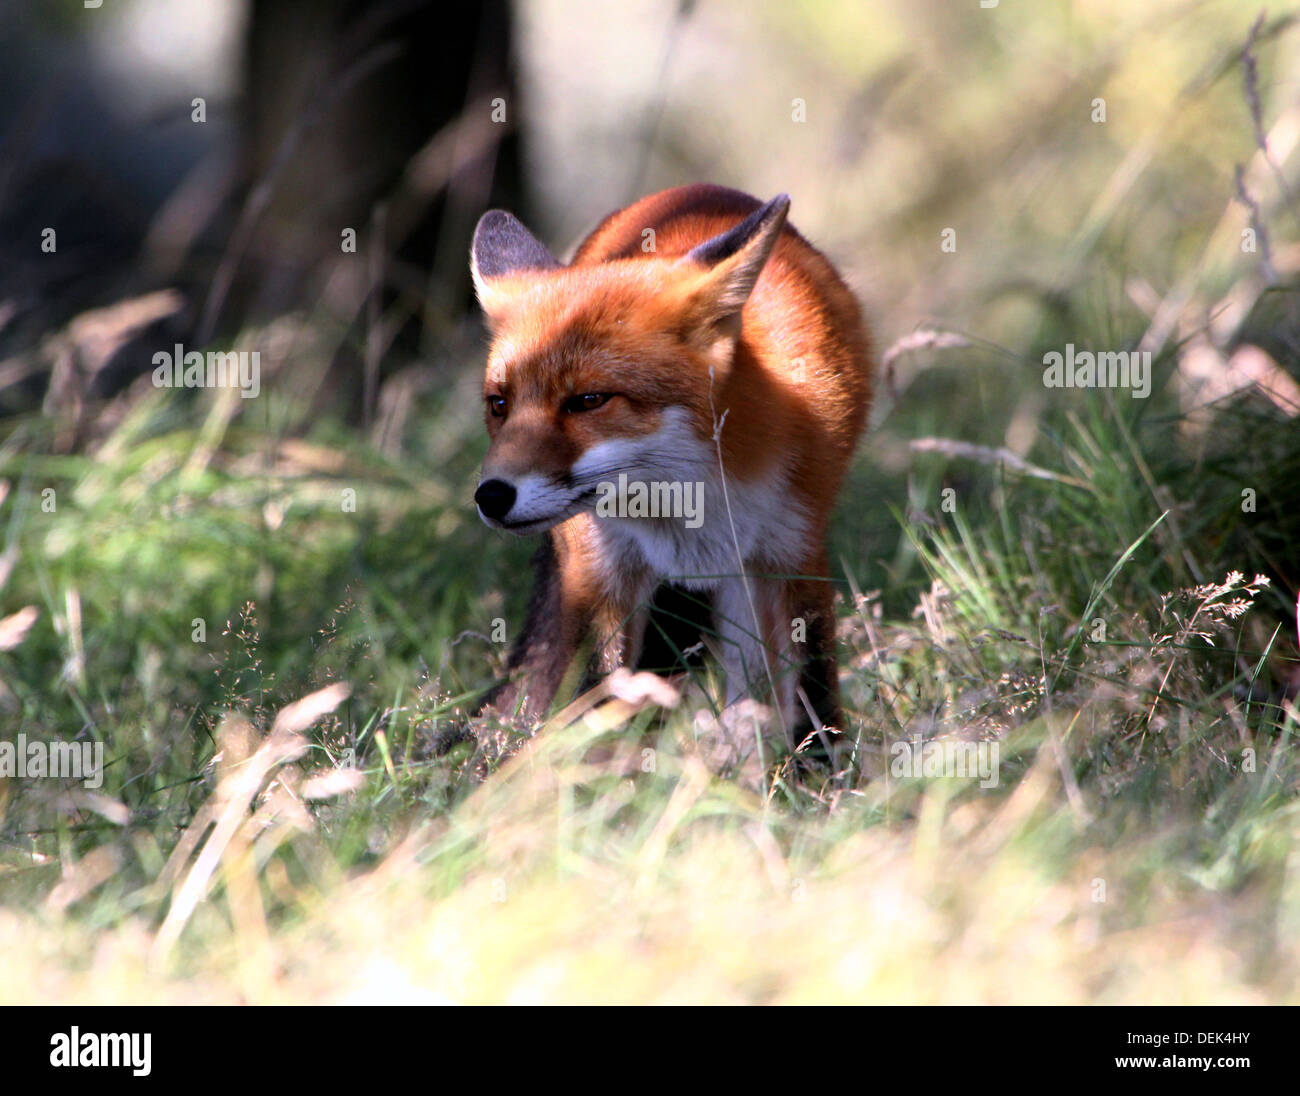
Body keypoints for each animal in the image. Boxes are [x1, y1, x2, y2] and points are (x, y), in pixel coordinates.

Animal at [469, 183, 872, 755]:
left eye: (589, 400)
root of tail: (698, 189)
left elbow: (814, 695)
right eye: (499, 404)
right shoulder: (601, 577)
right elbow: (598, 696)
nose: (492, 496)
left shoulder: (792, 554)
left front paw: (824, 772)